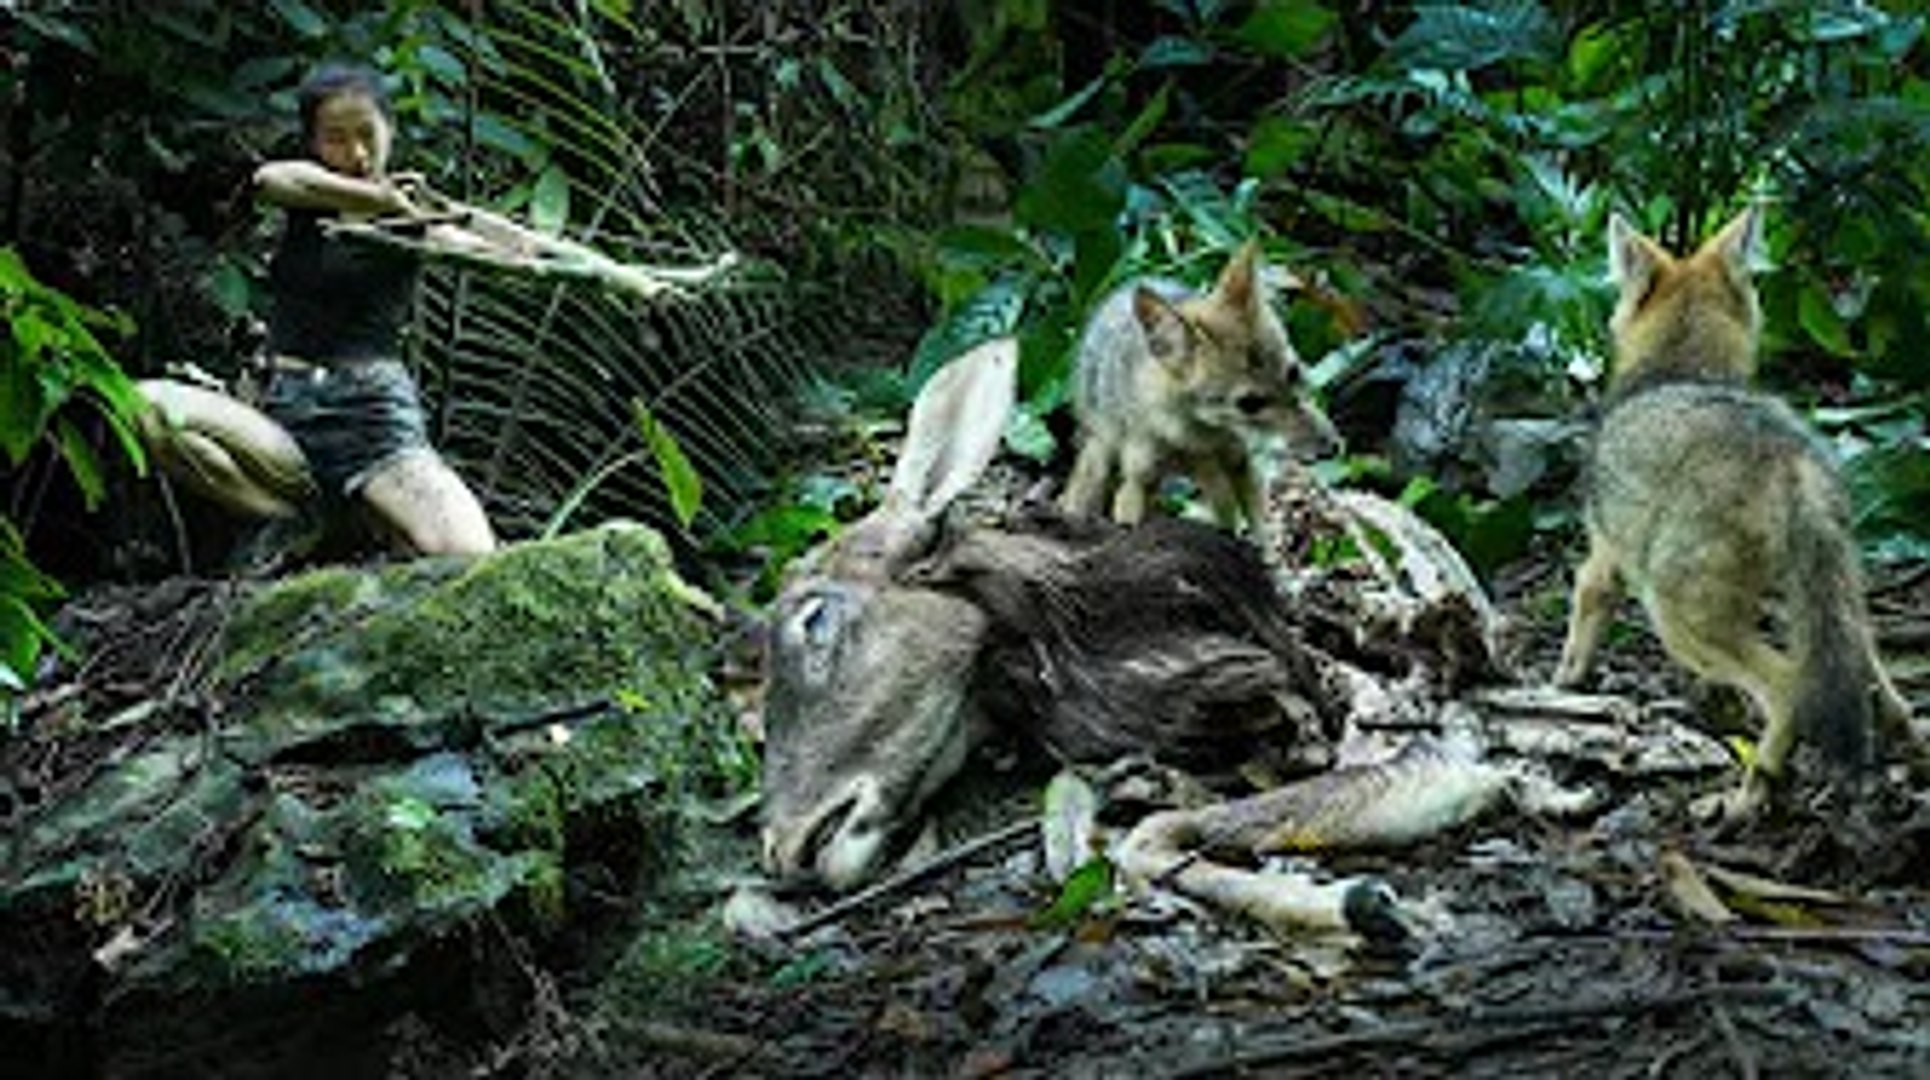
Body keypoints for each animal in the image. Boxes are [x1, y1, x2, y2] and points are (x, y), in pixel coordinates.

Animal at [1061, 241, 1340, 529]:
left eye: (1294, 373)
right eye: (1250, 403)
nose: (1332, 447)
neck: (1194, 438)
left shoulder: (1239, 462)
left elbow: (1261, 529)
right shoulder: (1138, 480)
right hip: (1102, 453)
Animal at [1553, 204, 1914, 822]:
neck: (1681, 369)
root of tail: (1786, 454)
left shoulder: (1602, 556)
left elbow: (1581, 623)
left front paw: (1560, 684)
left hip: (1673, 614)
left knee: (1789, 690)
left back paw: (1748, 795)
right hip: (1834, 601)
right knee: (1883, 690)